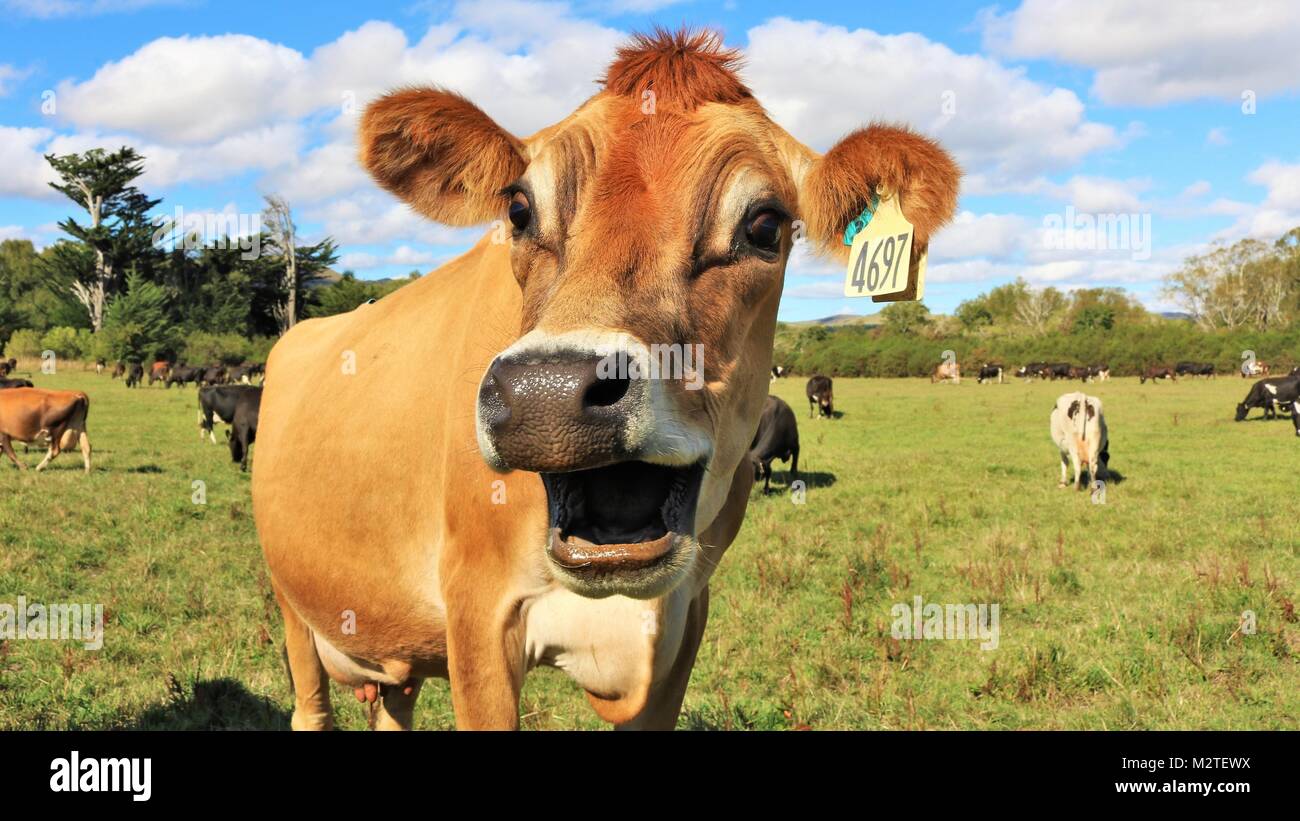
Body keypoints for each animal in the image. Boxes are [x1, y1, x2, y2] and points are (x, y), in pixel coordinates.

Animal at [250, 30, 960, 730]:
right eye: (517, 209)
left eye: (765, 223)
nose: (550, 394)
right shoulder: (476, 613)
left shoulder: (683, 621)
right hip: (291, 601)